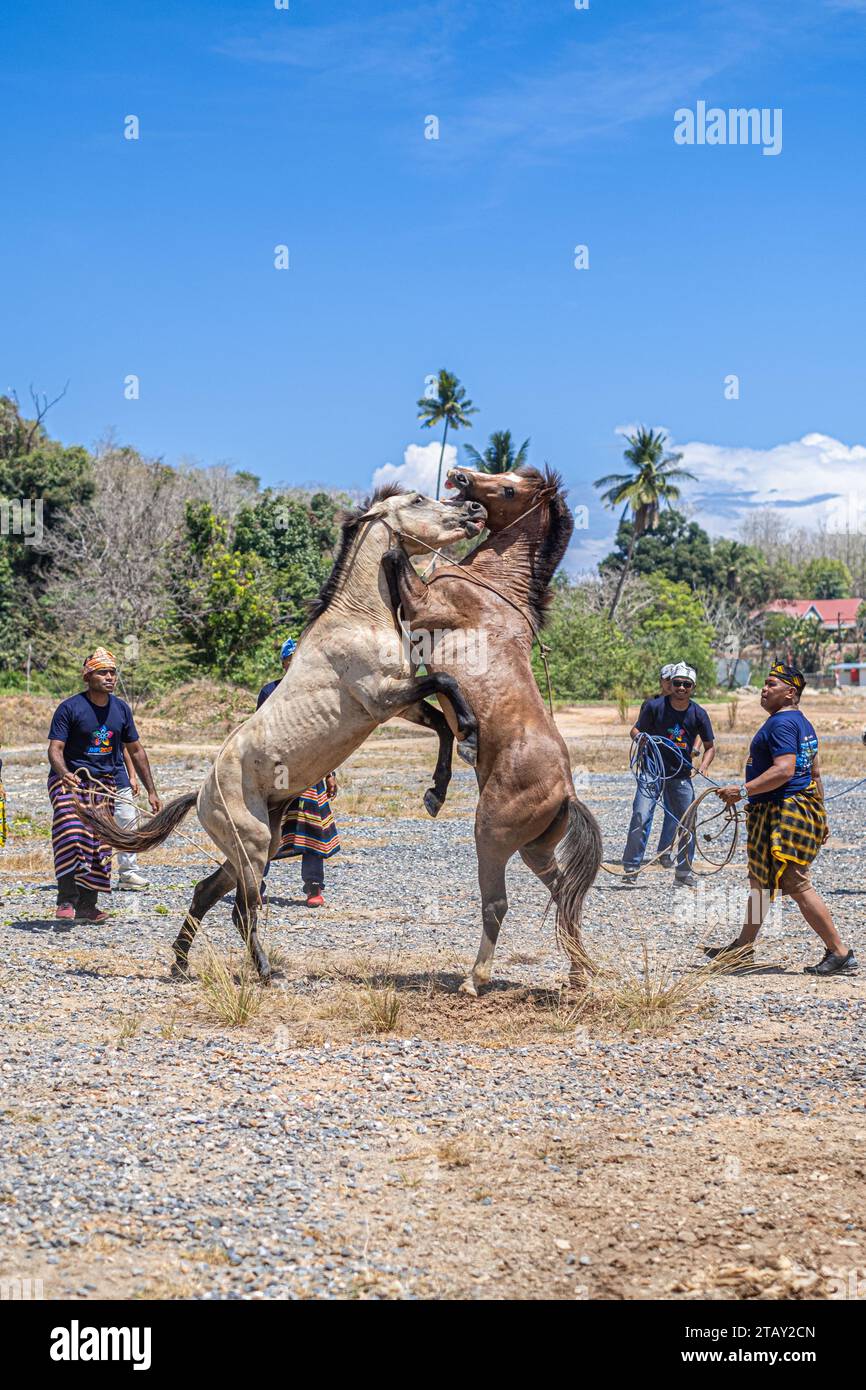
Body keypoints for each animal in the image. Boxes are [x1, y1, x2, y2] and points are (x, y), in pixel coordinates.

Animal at [76, 486, 486, 981]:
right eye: (419, 499)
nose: (475, 510)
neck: (359, 618)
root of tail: (201, 795)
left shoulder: (401, 703)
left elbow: (442, 722)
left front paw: (437, 792)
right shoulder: (383, 699)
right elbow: (445, 684)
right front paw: (471, 736)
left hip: (257, 847)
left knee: (205, 891)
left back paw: (180, 965)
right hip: (252, 848)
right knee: (242, 910)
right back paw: (265, 971)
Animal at [381, 464, 602, 995]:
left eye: (507, 488)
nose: (459, 475)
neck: (489, 582)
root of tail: (566, 793)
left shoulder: (422, 607)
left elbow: (399, 562)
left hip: (493, 837)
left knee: (497, 904)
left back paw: (473, 979)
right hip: (534, 852)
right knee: (564, 894)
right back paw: (578, 973)